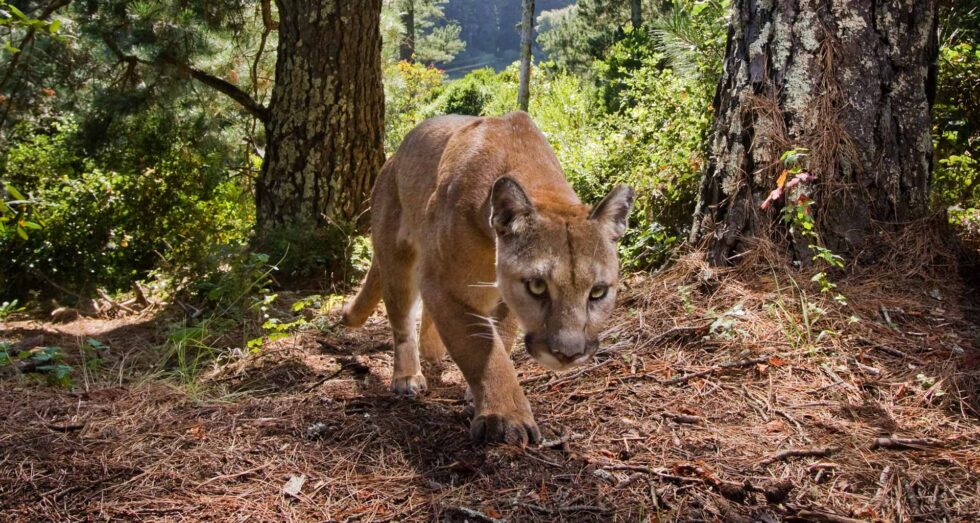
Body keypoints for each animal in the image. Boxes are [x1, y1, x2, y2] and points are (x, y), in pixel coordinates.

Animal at [343, 111, 634, 446]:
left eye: (597, 292)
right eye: (537, 286)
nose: (567, 354)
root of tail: (391, 160)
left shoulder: (498, 294)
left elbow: (501, 337)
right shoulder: (445, 283)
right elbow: (481, 346)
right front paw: (505, 416)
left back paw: (433, 352)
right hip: (398, 260)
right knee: (403, 322)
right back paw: (407, 376)